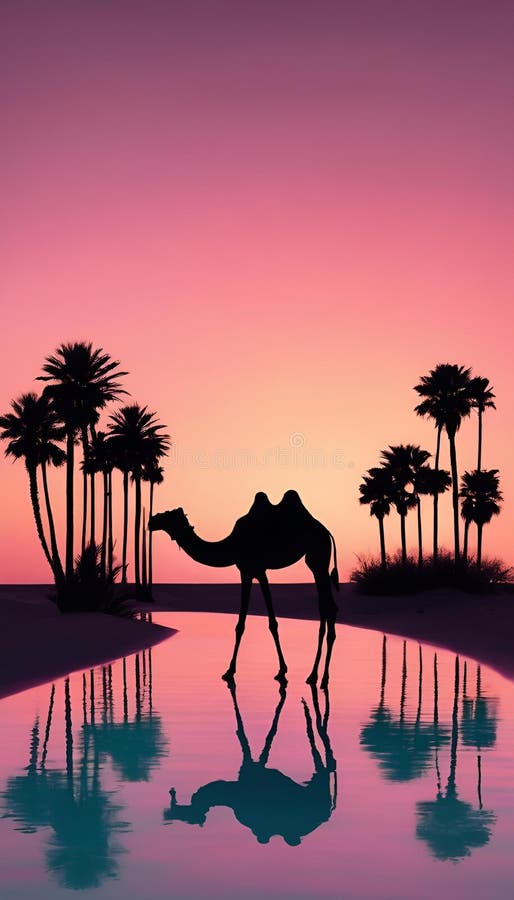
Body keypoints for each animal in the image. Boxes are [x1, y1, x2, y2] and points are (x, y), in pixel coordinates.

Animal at [148, 489, 339, 687]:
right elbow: (266, 622)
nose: (151, 521)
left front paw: (230, 671)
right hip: (316, 561)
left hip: (318, 557)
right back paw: (316, 676)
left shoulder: (250, 570)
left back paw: (319, 677)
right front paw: (281, 671)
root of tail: (327, 532)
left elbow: (247, 624)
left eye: (168, 515)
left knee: (328, 607)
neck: (233, 543)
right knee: (327, 607)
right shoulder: (256, 571)